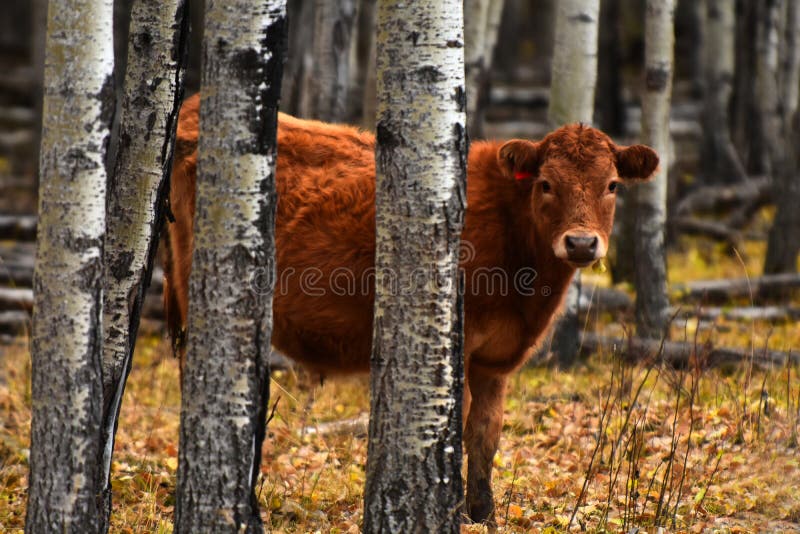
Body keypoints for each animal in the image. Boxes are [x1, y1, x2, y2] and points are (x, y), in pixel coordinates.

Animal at [163, 93, 658, 524]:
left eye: (612, 185)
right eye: (546, 184)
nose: (581, 243)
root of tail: (193, 107)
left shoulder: (496, 360)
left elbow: (486, 434)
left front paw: (484, 515)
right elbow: (455, 430)